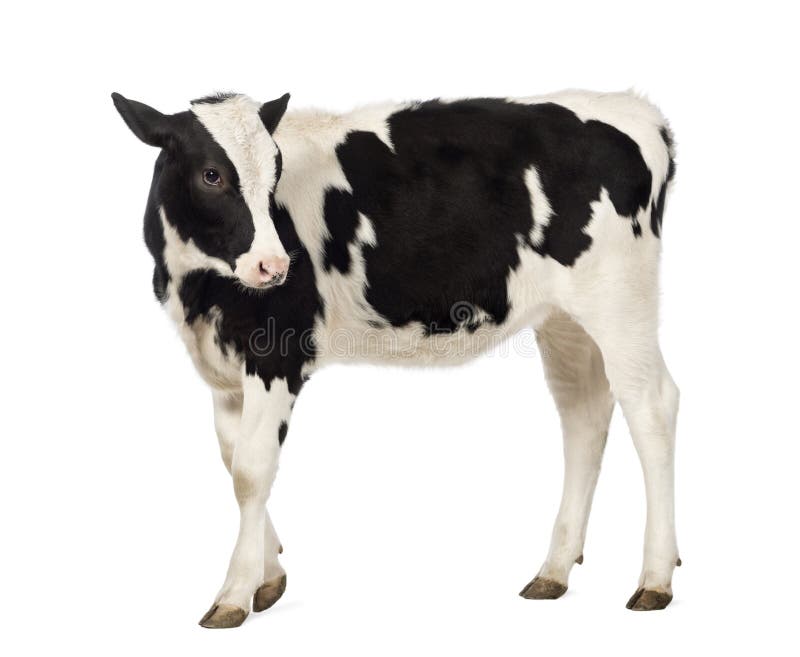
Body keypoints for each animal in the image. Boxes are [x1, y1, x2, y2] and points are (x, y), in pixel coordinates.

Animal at [112, 88, 680, 628]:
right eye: (211, 174)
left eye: (275, 169)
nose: (273, 266)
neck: (196, 290)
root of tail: (638, 112)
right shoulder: (223, 370)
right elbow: (233, 460)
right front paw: (267, 577)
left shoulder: (277, 353)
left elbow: (251, 471)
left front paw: (233, 593)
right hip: (564, 318)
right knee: (584, 416)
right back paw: (554, 571)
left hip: (619, 297)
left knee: (652, 406)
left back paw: (655, 578)